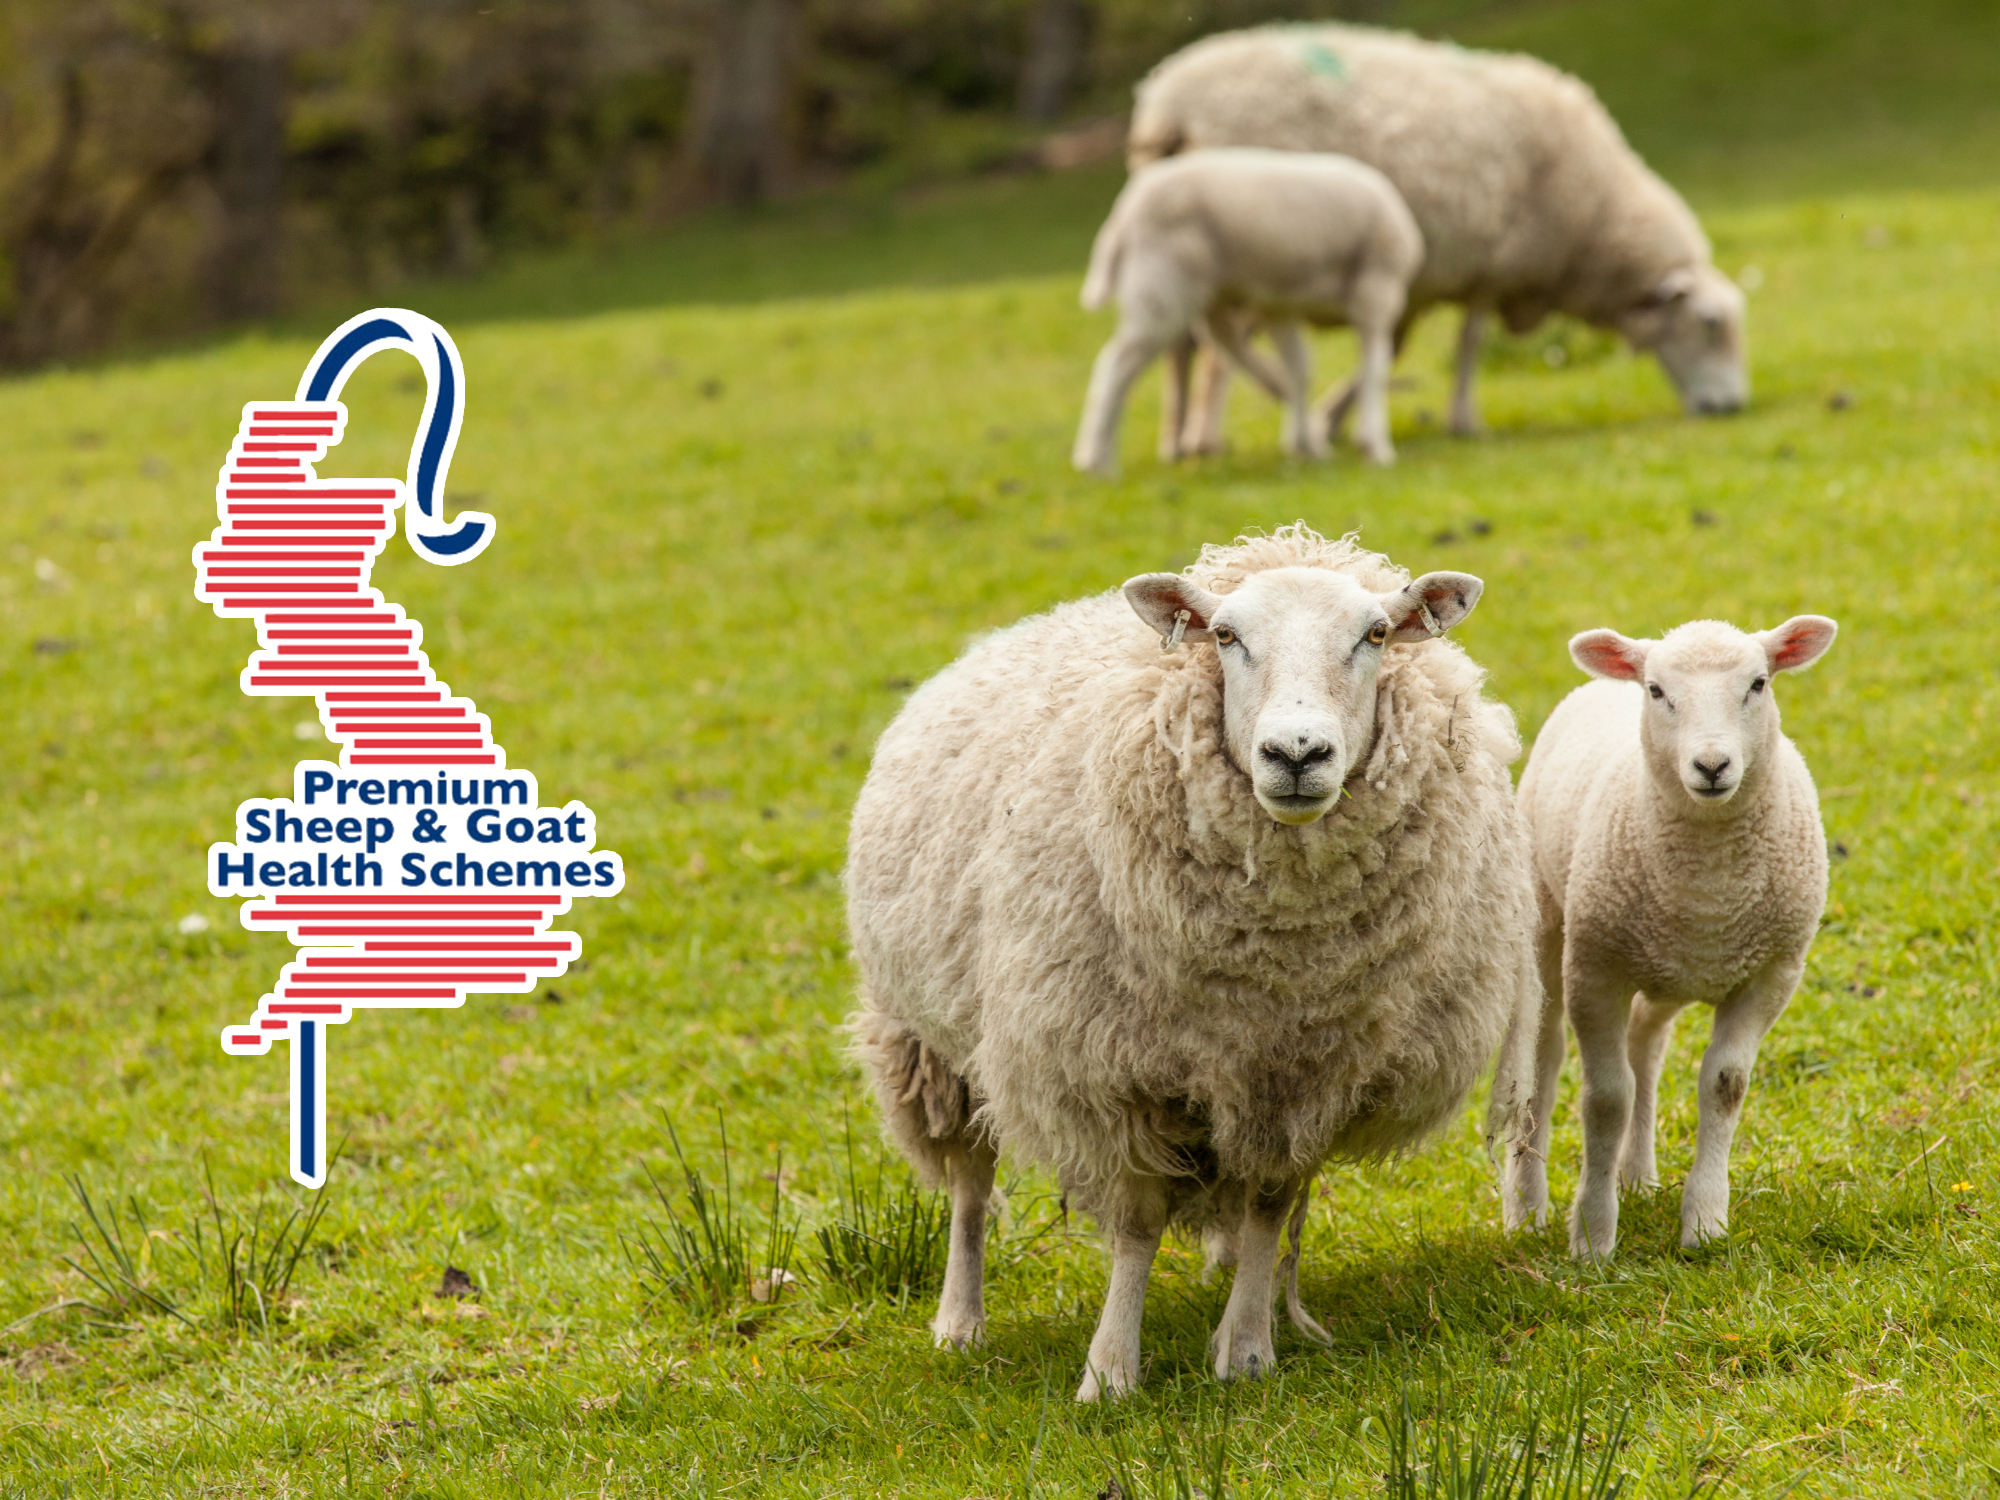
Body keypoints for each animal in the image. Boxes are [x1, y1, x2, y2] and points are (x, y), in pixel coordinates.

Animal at [846, 524, 1543, 1400]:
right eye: (1225, 636)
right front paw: (1110, 1370)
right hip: (931, 1043)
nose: (1296, 754)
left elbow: (1270, 1203)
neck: (1282, 960)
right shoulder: (1117, 1072)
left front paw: (1245, 1347)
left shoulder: (1311, 1075)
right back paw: (960, 1323)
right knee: (970, 1186)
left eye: (1377, 634)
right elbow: (1138, 1224)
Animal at [1071, 148, 1423, 474]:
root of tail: (1123, 216)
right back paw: (1097, 462)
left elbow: (1300, 368)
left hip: (1206, 295)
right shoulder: (1375, 289)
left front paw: (1307, 446)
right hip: (1164, 289)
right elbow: (1373, 369)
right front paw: (1376, 447)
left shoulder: (1282, 306)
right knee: (1116, 364)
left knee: (1224, 346)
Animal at [1127, 24, 1748, 452]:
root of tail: (1168, 104)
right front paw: (1462, 420)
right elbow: (1468, 346)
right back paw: (1204, 436)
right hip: (1235, 240)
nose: (1735, 407)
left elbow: (1393, 348)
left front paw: (1337, 416)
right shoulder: (1491, 265)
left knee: (1182, 342)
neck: (1593, 220)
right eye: (1709, 324)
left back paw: (1176, 440)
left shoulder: (1425, 278)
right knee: (1212, 350)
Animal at [1492, 615, 1838, 1260]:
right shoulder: (1594, 971)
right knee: (1545, 1062)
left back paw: (1637, 1175)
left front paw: (1704, 1222)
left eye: (1758, 683)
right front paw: (1592, 1236)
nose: (1712, 766)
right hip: (1549, 926)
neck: (1710, 883)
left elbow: (1725, 1085)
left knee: (1645, 1047)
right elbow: (1606, 1099)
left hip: (1666, 968)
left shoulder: (1772, 974)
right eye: (1657, 691)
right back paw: (1526, 1207)